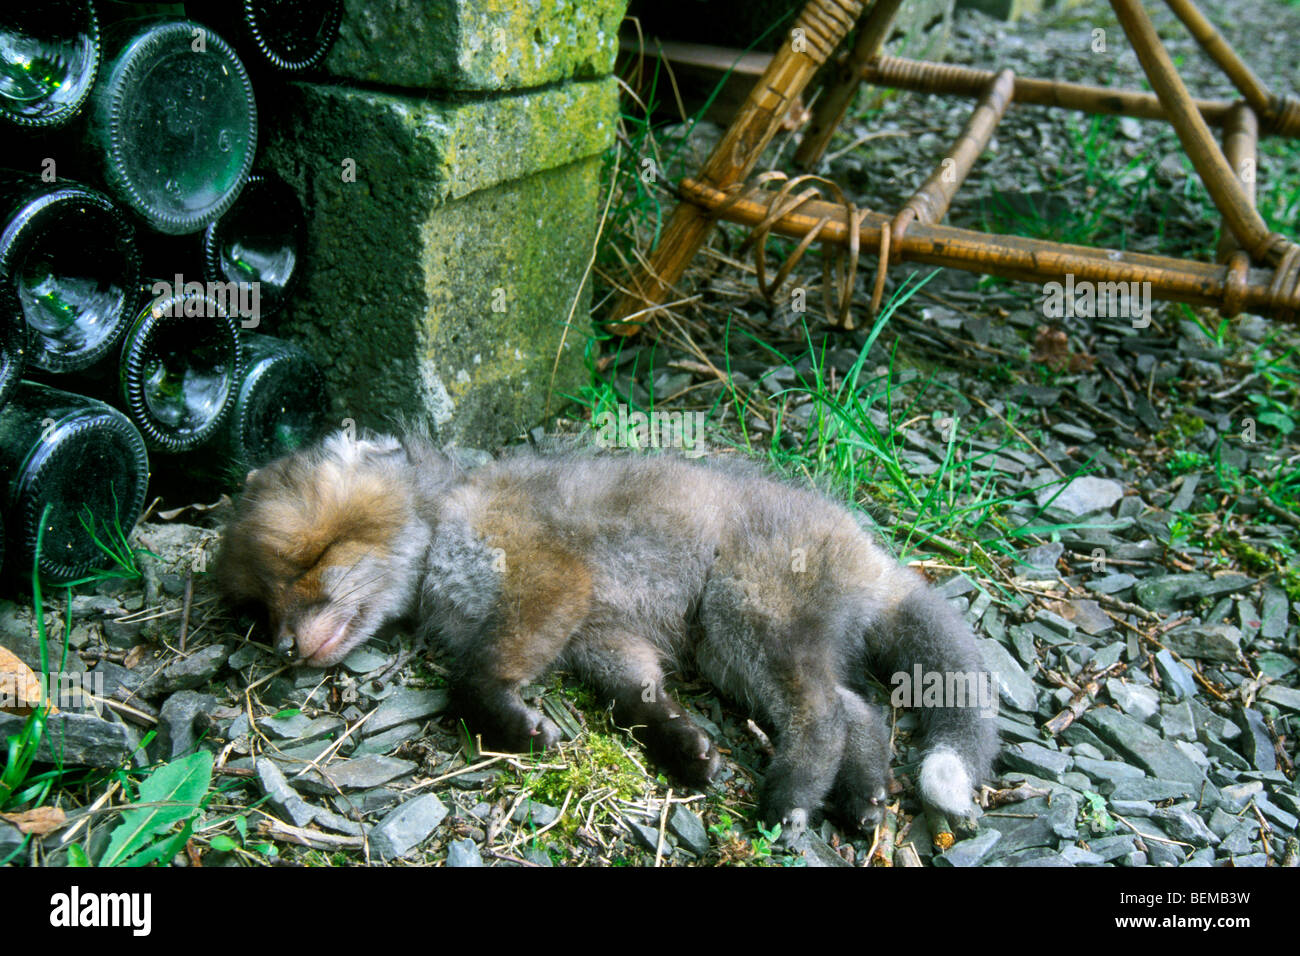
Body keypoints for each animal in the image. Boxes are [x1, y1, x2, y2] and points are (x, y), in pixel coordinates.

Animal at [215, 429, 999, 840]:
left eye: (313, 559)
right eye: (258, 607)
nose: (286, 650)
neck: (443, 520)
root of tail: (876, 556)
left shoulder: (550, 583)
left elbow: (470, 681)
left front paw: (516, 728)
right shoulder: (600, 638)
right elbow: (640, 705)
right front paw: (686, 749)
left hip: (744, 626)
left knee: (828, 714)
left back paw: (795, 797)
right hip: (740, 651)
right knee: (863, 711)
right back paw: (862, 801)